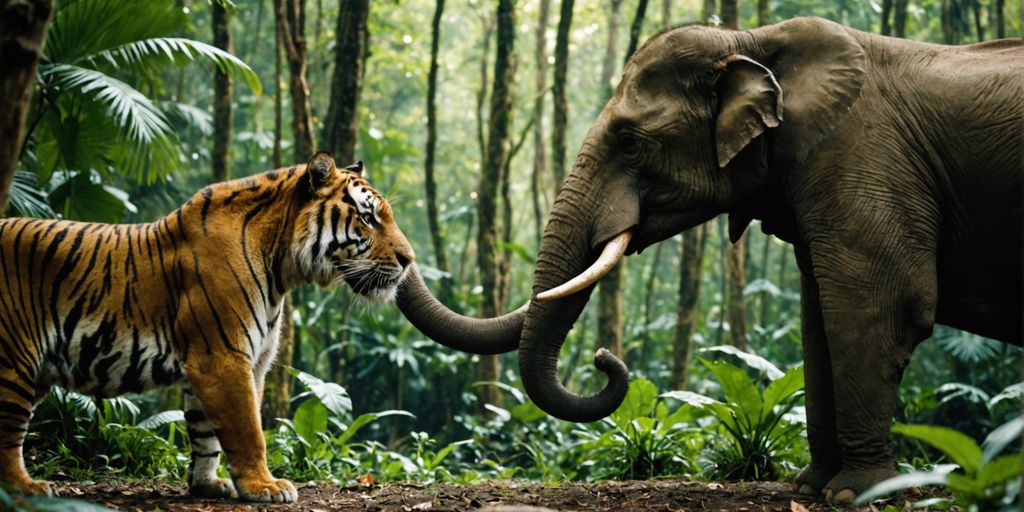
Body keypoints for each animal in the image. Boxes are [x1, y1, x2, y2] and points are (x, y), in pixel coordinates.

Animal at [0, 152, 414, 503]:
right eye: (367, 218)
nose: (409, 259)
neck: (282, 266)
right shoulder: (223, 357)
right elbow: (248, 429)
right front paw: (264, 486)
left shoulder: (235, 361)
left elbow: (205, 433)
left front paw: (208, 485)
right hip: (14, 360)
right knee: (8, 432)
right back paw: (26, 486)